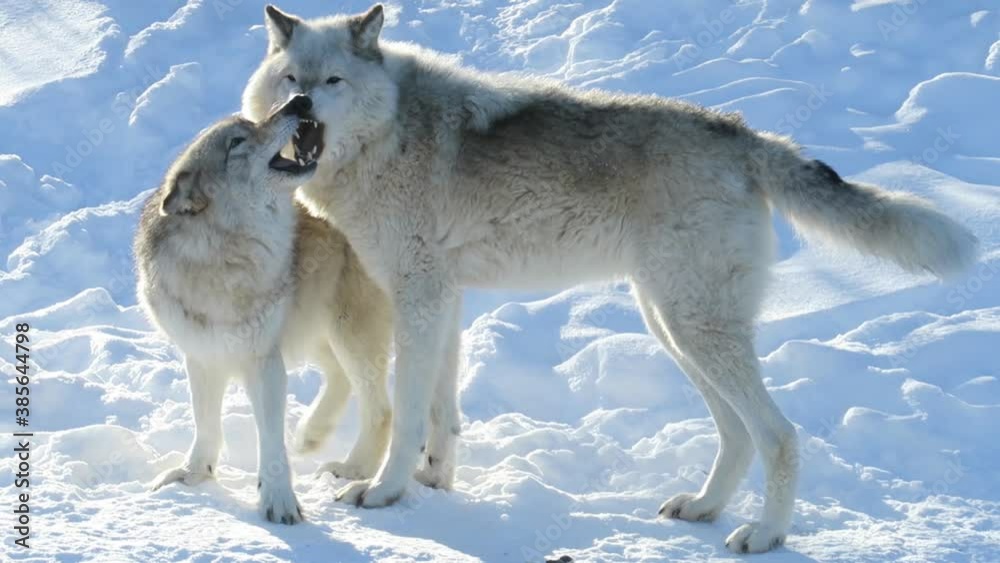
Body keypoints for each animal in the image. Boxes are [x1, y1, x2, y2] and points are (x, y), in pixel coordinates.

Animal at [134, 95, 393, 524]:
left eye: (251, 124)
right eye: (237, 141)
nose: (298, 101)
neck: (224, 258)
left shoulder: (264, 361)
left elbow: (270, 441)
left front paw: (278, 501)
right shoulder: (202, 355)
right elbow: (205, 423)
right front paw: (193, 475)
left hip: (350, 331)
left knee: (382, 408)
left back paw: (352, 470)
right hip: (320, 331)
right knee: (339, 378)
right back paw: (312, 435)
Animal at [243, 4, 979, 551]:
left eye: (332, 82)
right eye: (291, 77)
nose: (301, 106)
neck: (391, 132)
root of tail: (743, 134)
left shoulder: (420, 295)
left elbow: (407, 410)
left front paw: (384, 491)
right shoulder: (443, 297)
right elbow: (440, 413)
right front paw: (434, 482)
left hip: (691, 325)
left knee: (781, 434)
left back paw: (765, 534)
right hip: (674, 327)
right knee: (738, 434)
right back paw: (704, 506)